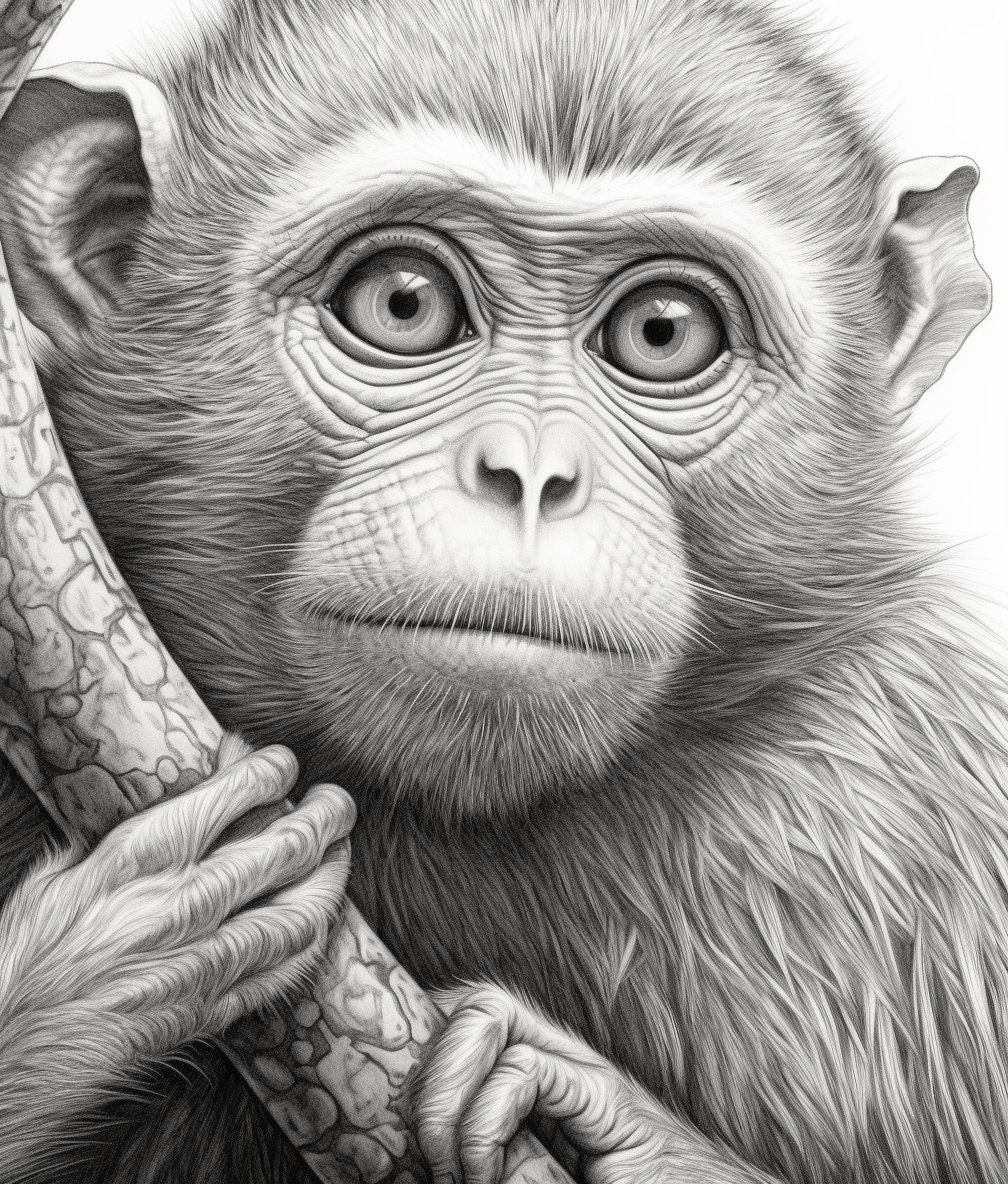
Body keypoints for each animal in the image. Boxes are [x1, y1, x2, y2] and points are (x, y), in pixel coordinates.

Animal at [0, 0, 1001, 1180]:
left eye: (662, 331)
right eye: (403, 302)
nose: (529, 473)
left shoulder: (903, 794)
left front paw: (605, 1114)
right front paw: (80, 976)